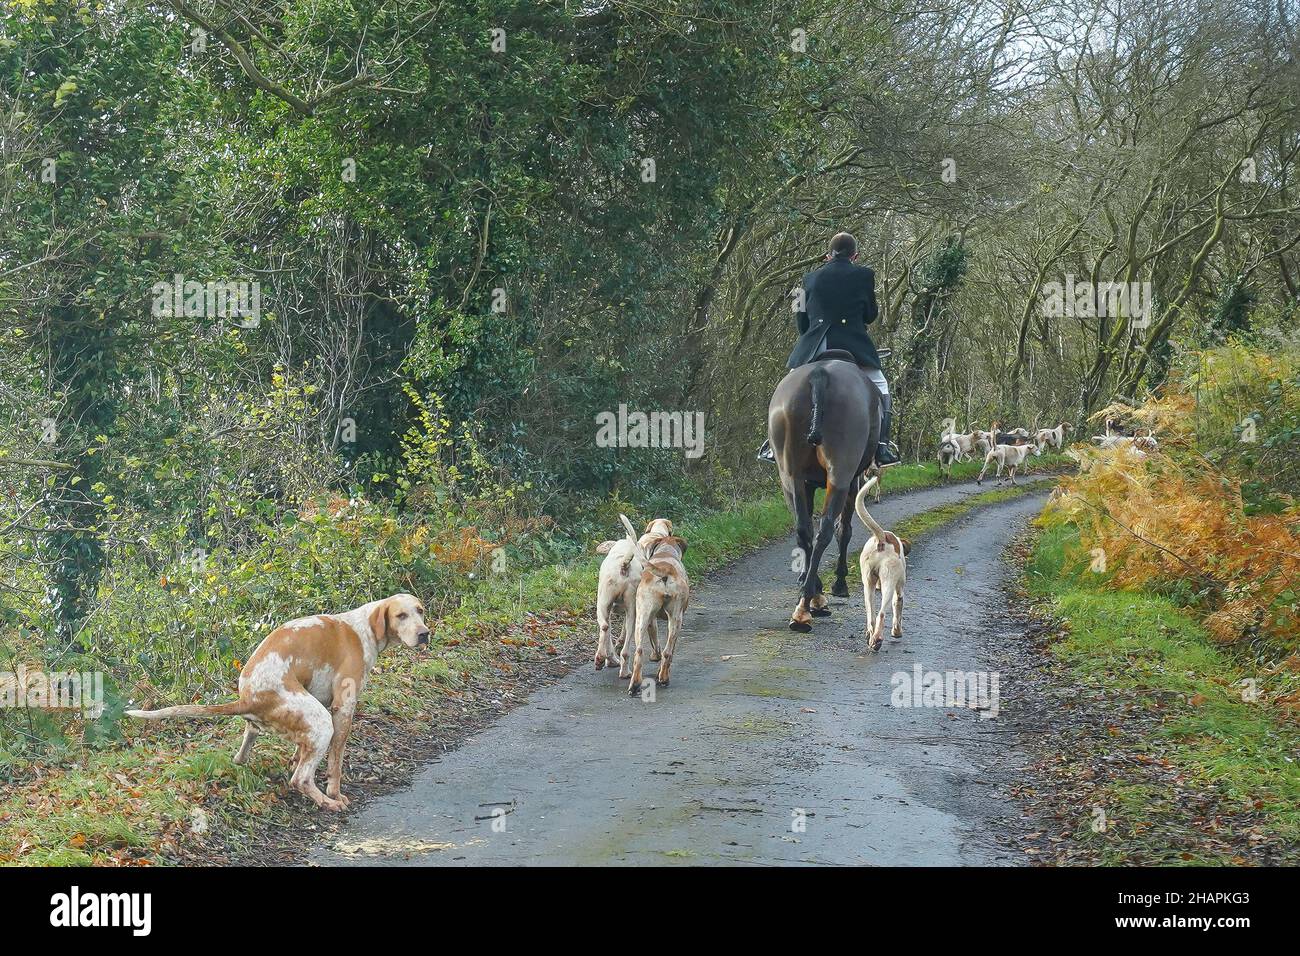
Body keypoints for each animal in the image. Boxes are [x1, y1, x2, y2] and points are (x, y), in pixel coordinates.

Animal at [767, 350, 882, 631]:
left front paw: (806, 578)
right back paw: (808, 604)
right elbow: (845, 531)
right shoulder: (852, 481)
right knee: (827, 530)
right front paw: (839, 583)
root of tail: (820, 374)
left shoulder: (805, 483)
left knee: (804, 529)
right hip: (840, 474)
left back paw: (809, 600)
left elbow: (806, 527)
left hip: (789, 476)